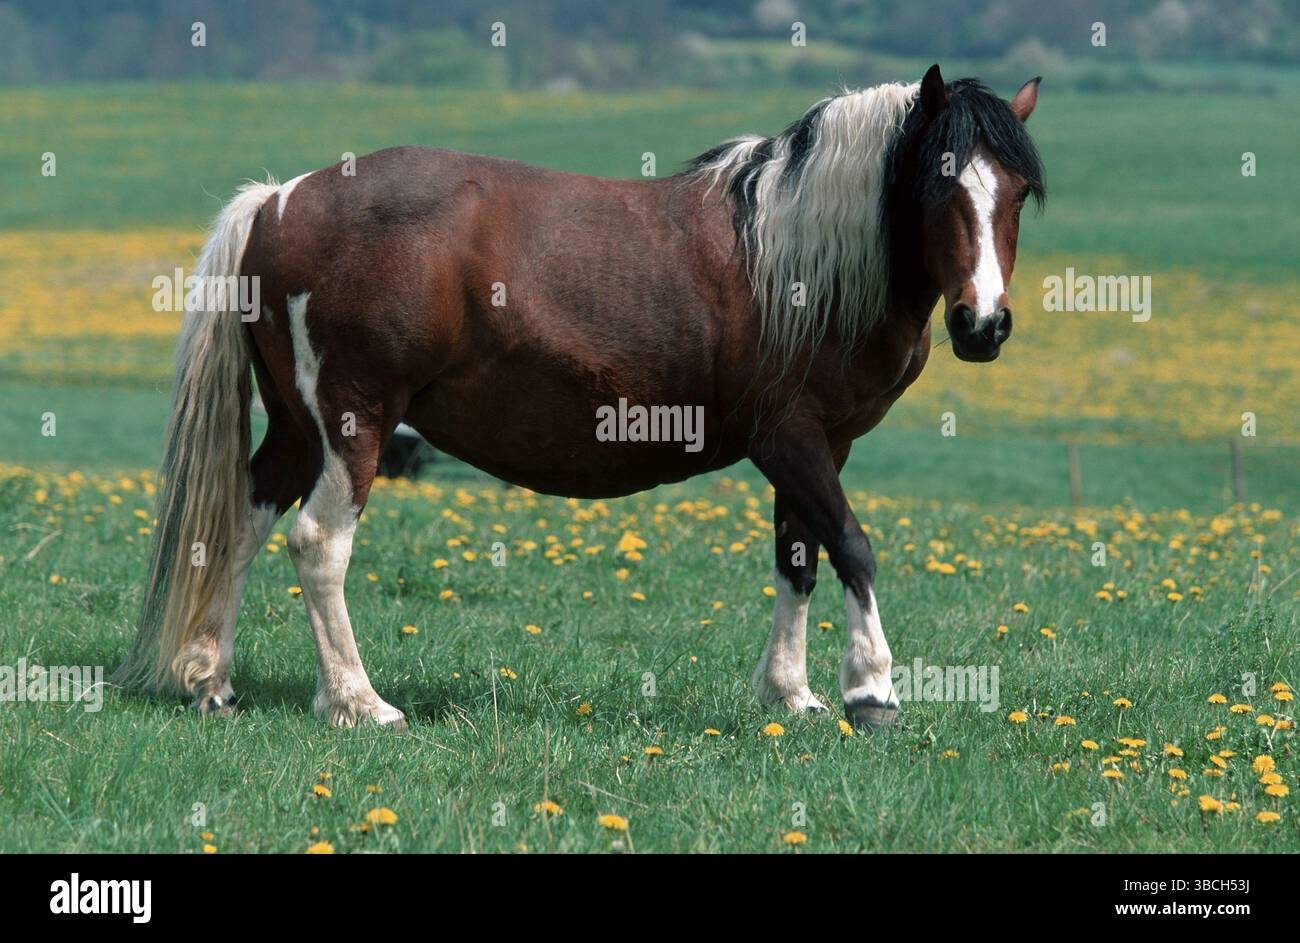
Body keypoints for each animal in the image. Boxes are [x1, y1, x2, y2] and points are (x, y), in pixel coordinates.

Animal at [114, 65, 1044, 731]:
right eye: (940, 184)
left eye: (1019, 194)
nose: (984, 323)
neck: (795, 254)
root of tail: (279, 198)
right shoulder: (792, 439)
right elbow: (852, 547)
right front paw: (871, 690)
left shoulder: (820, 445)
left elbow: (798, 559)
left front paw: (793, 694)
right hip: (354, 422)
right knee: (318, 544)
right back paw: (359, 702)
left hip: (296, 428)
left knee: (240, 523)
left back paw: (212, 682)